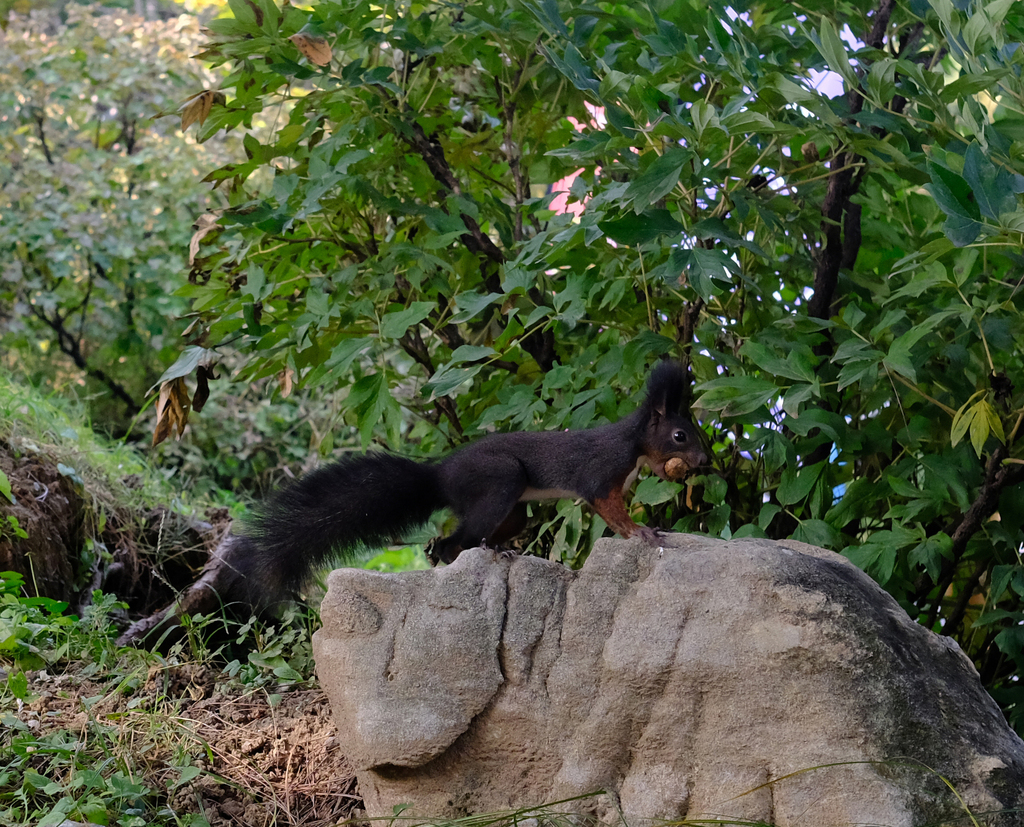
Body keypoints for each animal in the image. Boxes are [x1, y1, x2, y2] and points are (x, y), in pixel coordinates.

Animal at [236, 360, 708, 606]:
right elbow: (608, 509)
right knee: (452, 543)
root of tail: (440, 478)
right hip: (499, 480)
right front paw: (640, 532)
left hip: (512, 509)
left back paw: (499, 550)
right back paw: (475, 555)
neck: (633, 444)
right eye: (680, 435)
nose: (704, 460)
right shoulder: (600, 475)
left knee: (462, 538)